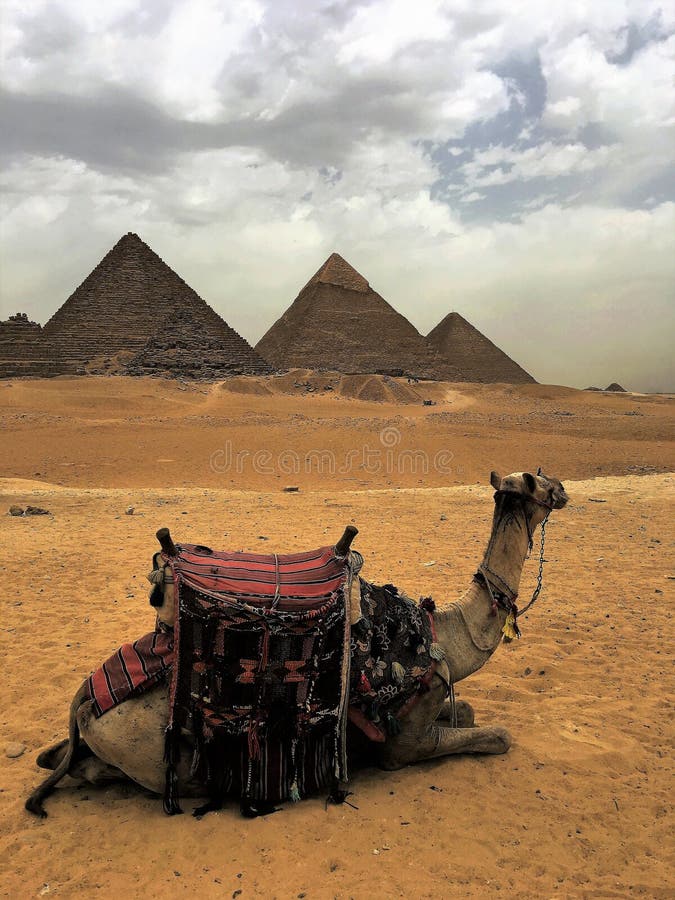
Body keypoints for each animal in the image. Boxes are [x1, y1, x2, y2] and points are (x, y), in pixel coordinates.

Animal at [26, 470, 568, 817]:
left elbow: (470, 713)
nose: (564, 491)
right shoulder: (403, 743)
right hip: (161, 753)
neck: (442, 637)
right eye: (541, 481)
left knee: (57, 759)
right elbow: (498, 736)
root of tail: (84, 699)